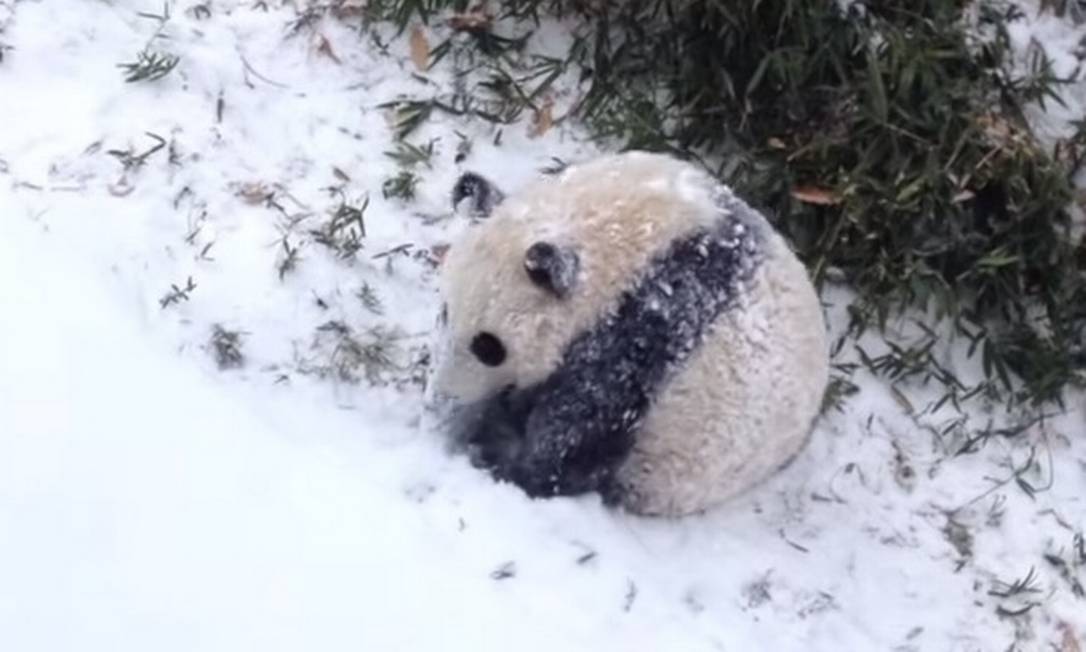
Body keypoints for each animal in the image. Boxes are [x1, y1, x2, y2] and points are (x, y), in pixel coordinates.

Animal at [425, 150, 829, 517]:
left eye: (488, 347)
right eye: (444, 312)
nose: (445, 395)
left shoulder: (649, 327)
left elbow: (580, 434)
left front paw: (505, 462)